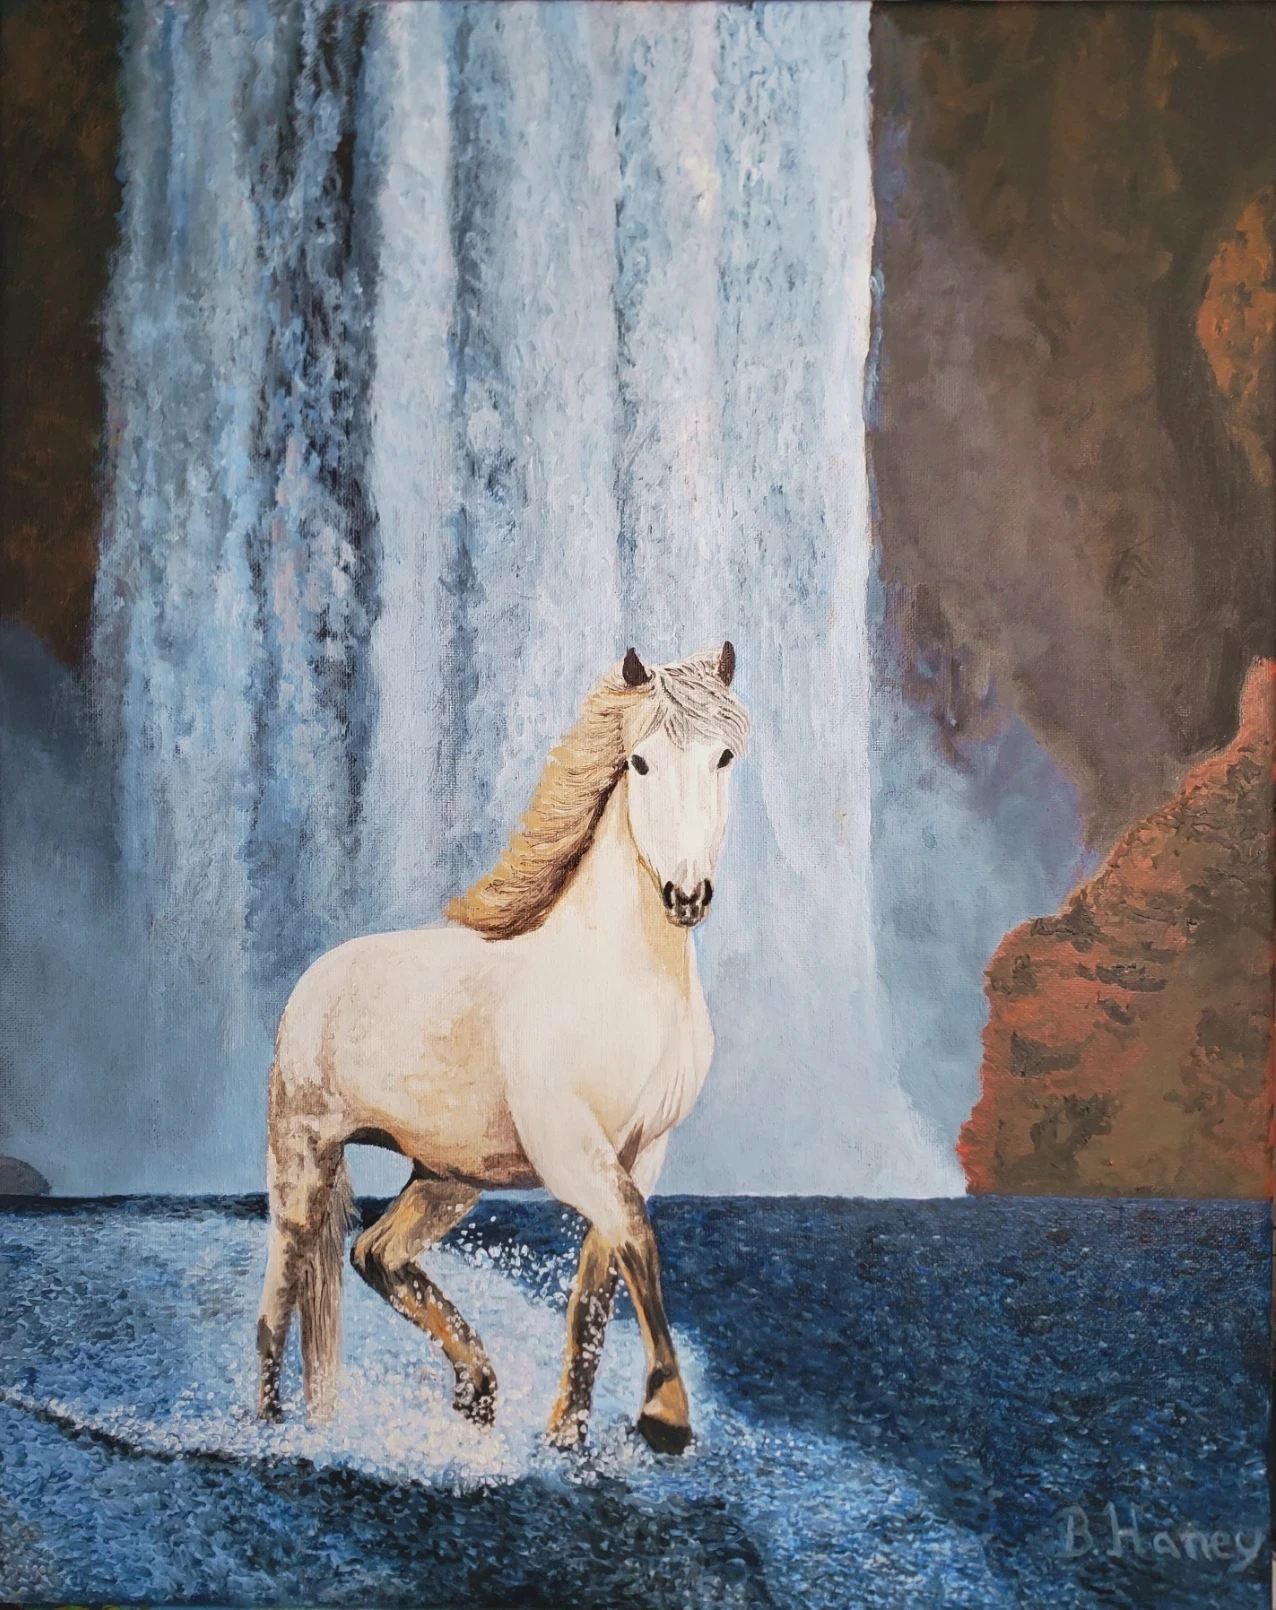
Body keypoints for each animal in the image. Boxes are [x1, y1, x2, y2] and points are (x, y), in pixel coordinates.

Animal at [256, 642, 750, 1454]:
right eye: (640, 762)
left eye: (725, 757)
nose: (686, 896)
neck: (617, 981)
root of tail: (314, 979)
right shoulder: (570, 1146)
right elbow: (635, 1233)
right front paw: (664, 1415)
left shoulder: (639, 1150)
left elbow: (599, 1281)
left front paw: (568, 1434)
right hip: (303, 1159)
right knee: (279, 1300)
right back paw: (269, 1430)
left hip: (446, 1178)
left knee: (375, 1253)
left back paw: (478, 1390)